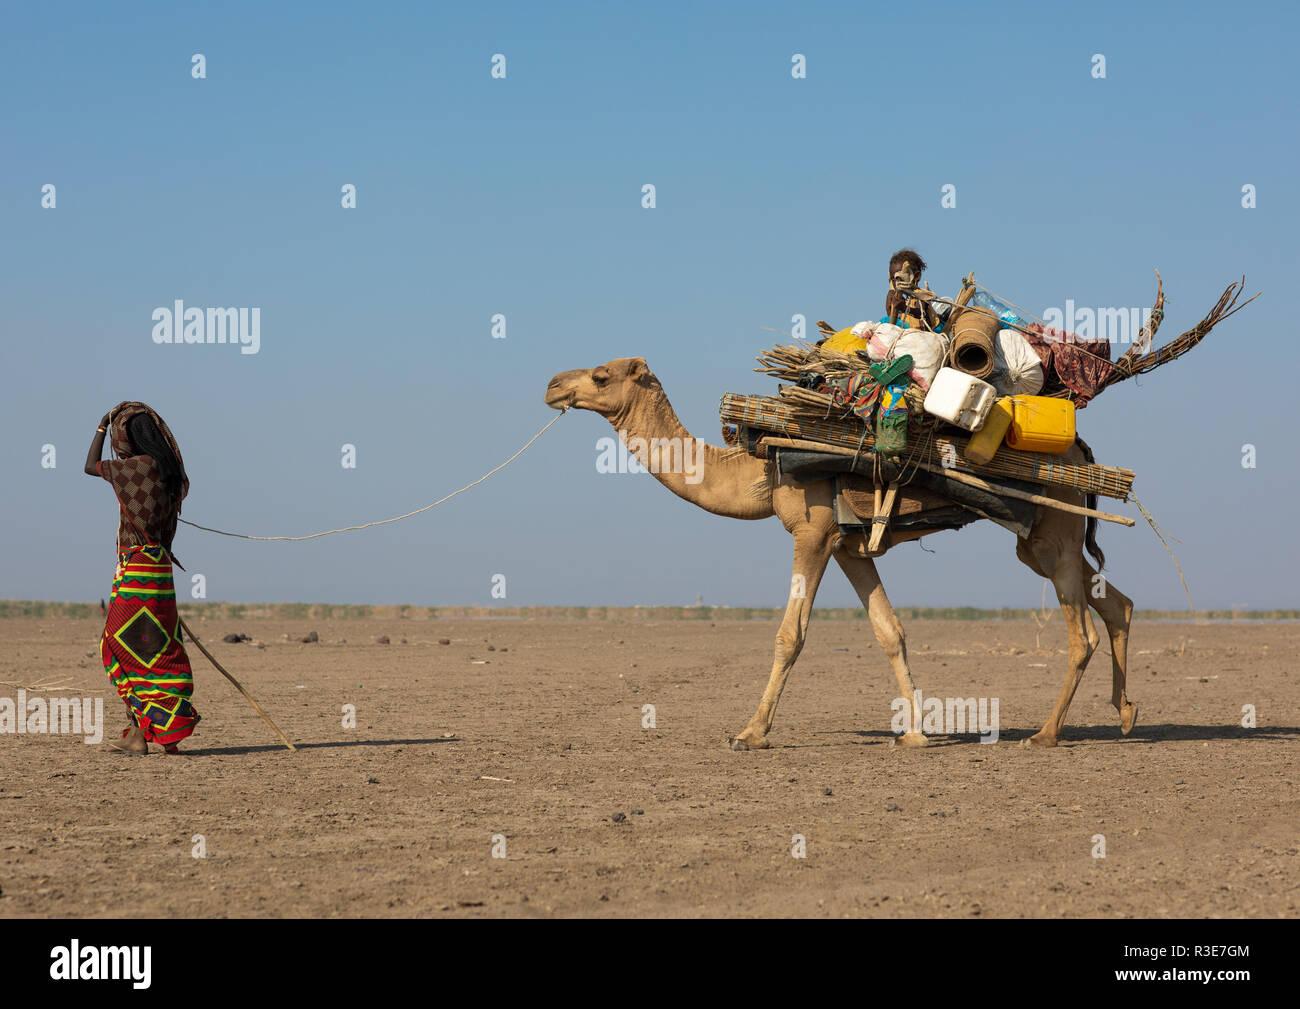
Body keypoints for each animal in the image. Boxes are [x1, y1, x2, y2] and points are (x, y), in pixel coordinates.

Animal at [545, 357, 1137, 749]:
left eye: (601, 377)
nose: (552, 385)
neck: (759, 466)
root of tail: (1084, 454)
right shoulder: (851, 546)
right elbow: (890, 631)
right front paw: (916, 734)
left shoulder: (811, 532)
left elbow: (790, 635)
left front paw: (750, 733)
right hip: (1043, 540)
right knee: (1117, 603)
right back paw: (1126, 712)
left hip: (1053, 529)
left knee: (1081, 631)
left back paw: (1046, 733)